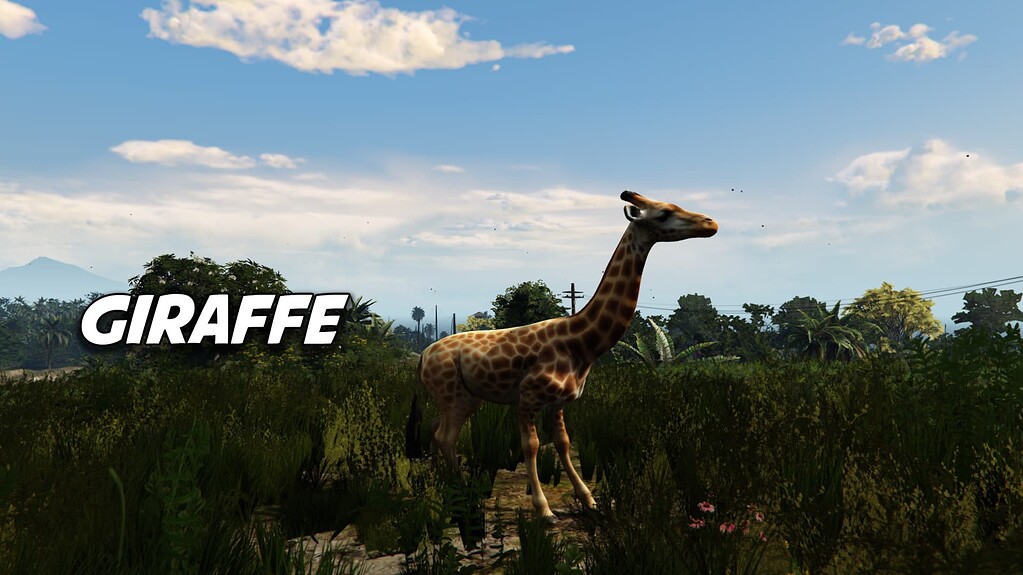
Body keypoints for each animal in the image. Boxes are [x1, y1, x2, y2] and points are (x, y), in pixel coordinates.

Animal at [413, 190, 718, 521]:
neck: (580, 344)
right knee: (446, 436)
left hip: (463, 398)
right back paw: (464, 495)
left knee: (436, 431)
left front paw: (589, 501)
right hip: (454, 396)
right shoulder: (527, 397)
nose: (710, 223)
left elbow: (563, 443)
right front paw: (544, 510)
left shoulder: (559, 402)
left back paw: (441, 486)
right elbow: (531, 445)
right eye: (663, 213)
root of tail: (424, 355)